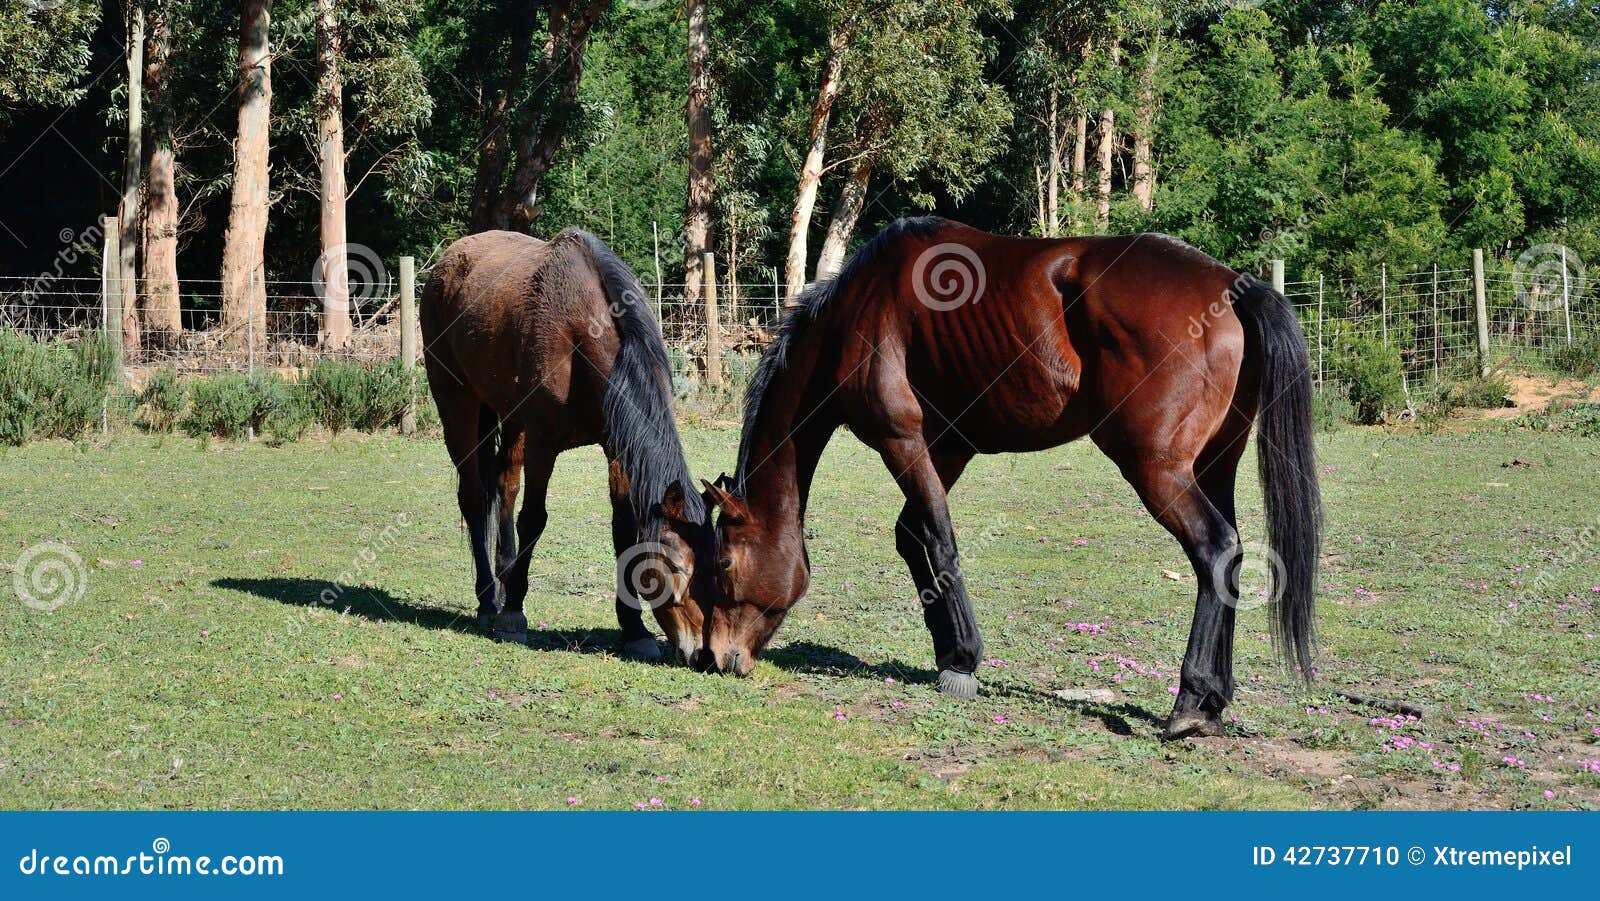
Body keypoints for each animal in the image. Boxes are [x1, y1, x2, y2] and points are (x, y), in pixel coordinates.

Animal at [421, 228, 714, 665]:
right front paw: (514, 616)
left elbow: (623, 529)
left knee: (505, 486)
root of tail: (449, 259)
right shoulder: (543, 442)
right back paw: (490, 601)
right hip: (458, 405)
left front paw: (634, 630)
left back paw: (505, 580)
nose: (703, 654)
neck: (582, 329)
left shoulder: (616, 448)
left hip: (512, 420)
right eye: (677, 569)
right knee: (473, 499)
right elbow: (533, 519)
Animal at [699, 217, 1321, 740]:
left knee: (1215, 549)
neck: (856, 313)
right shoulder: (947, 448)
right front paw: (950, 657)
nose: (715, 657)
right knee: (1233, 557)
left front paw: (965, 660)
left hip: (1158, 471)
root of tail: (1232, 285)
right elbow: (915, 537)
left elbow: (940, 542)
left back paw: (1190, 704)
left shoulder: (902, 441)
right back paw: (1215, 701)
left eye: (724, 563)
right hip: (1213, 467)